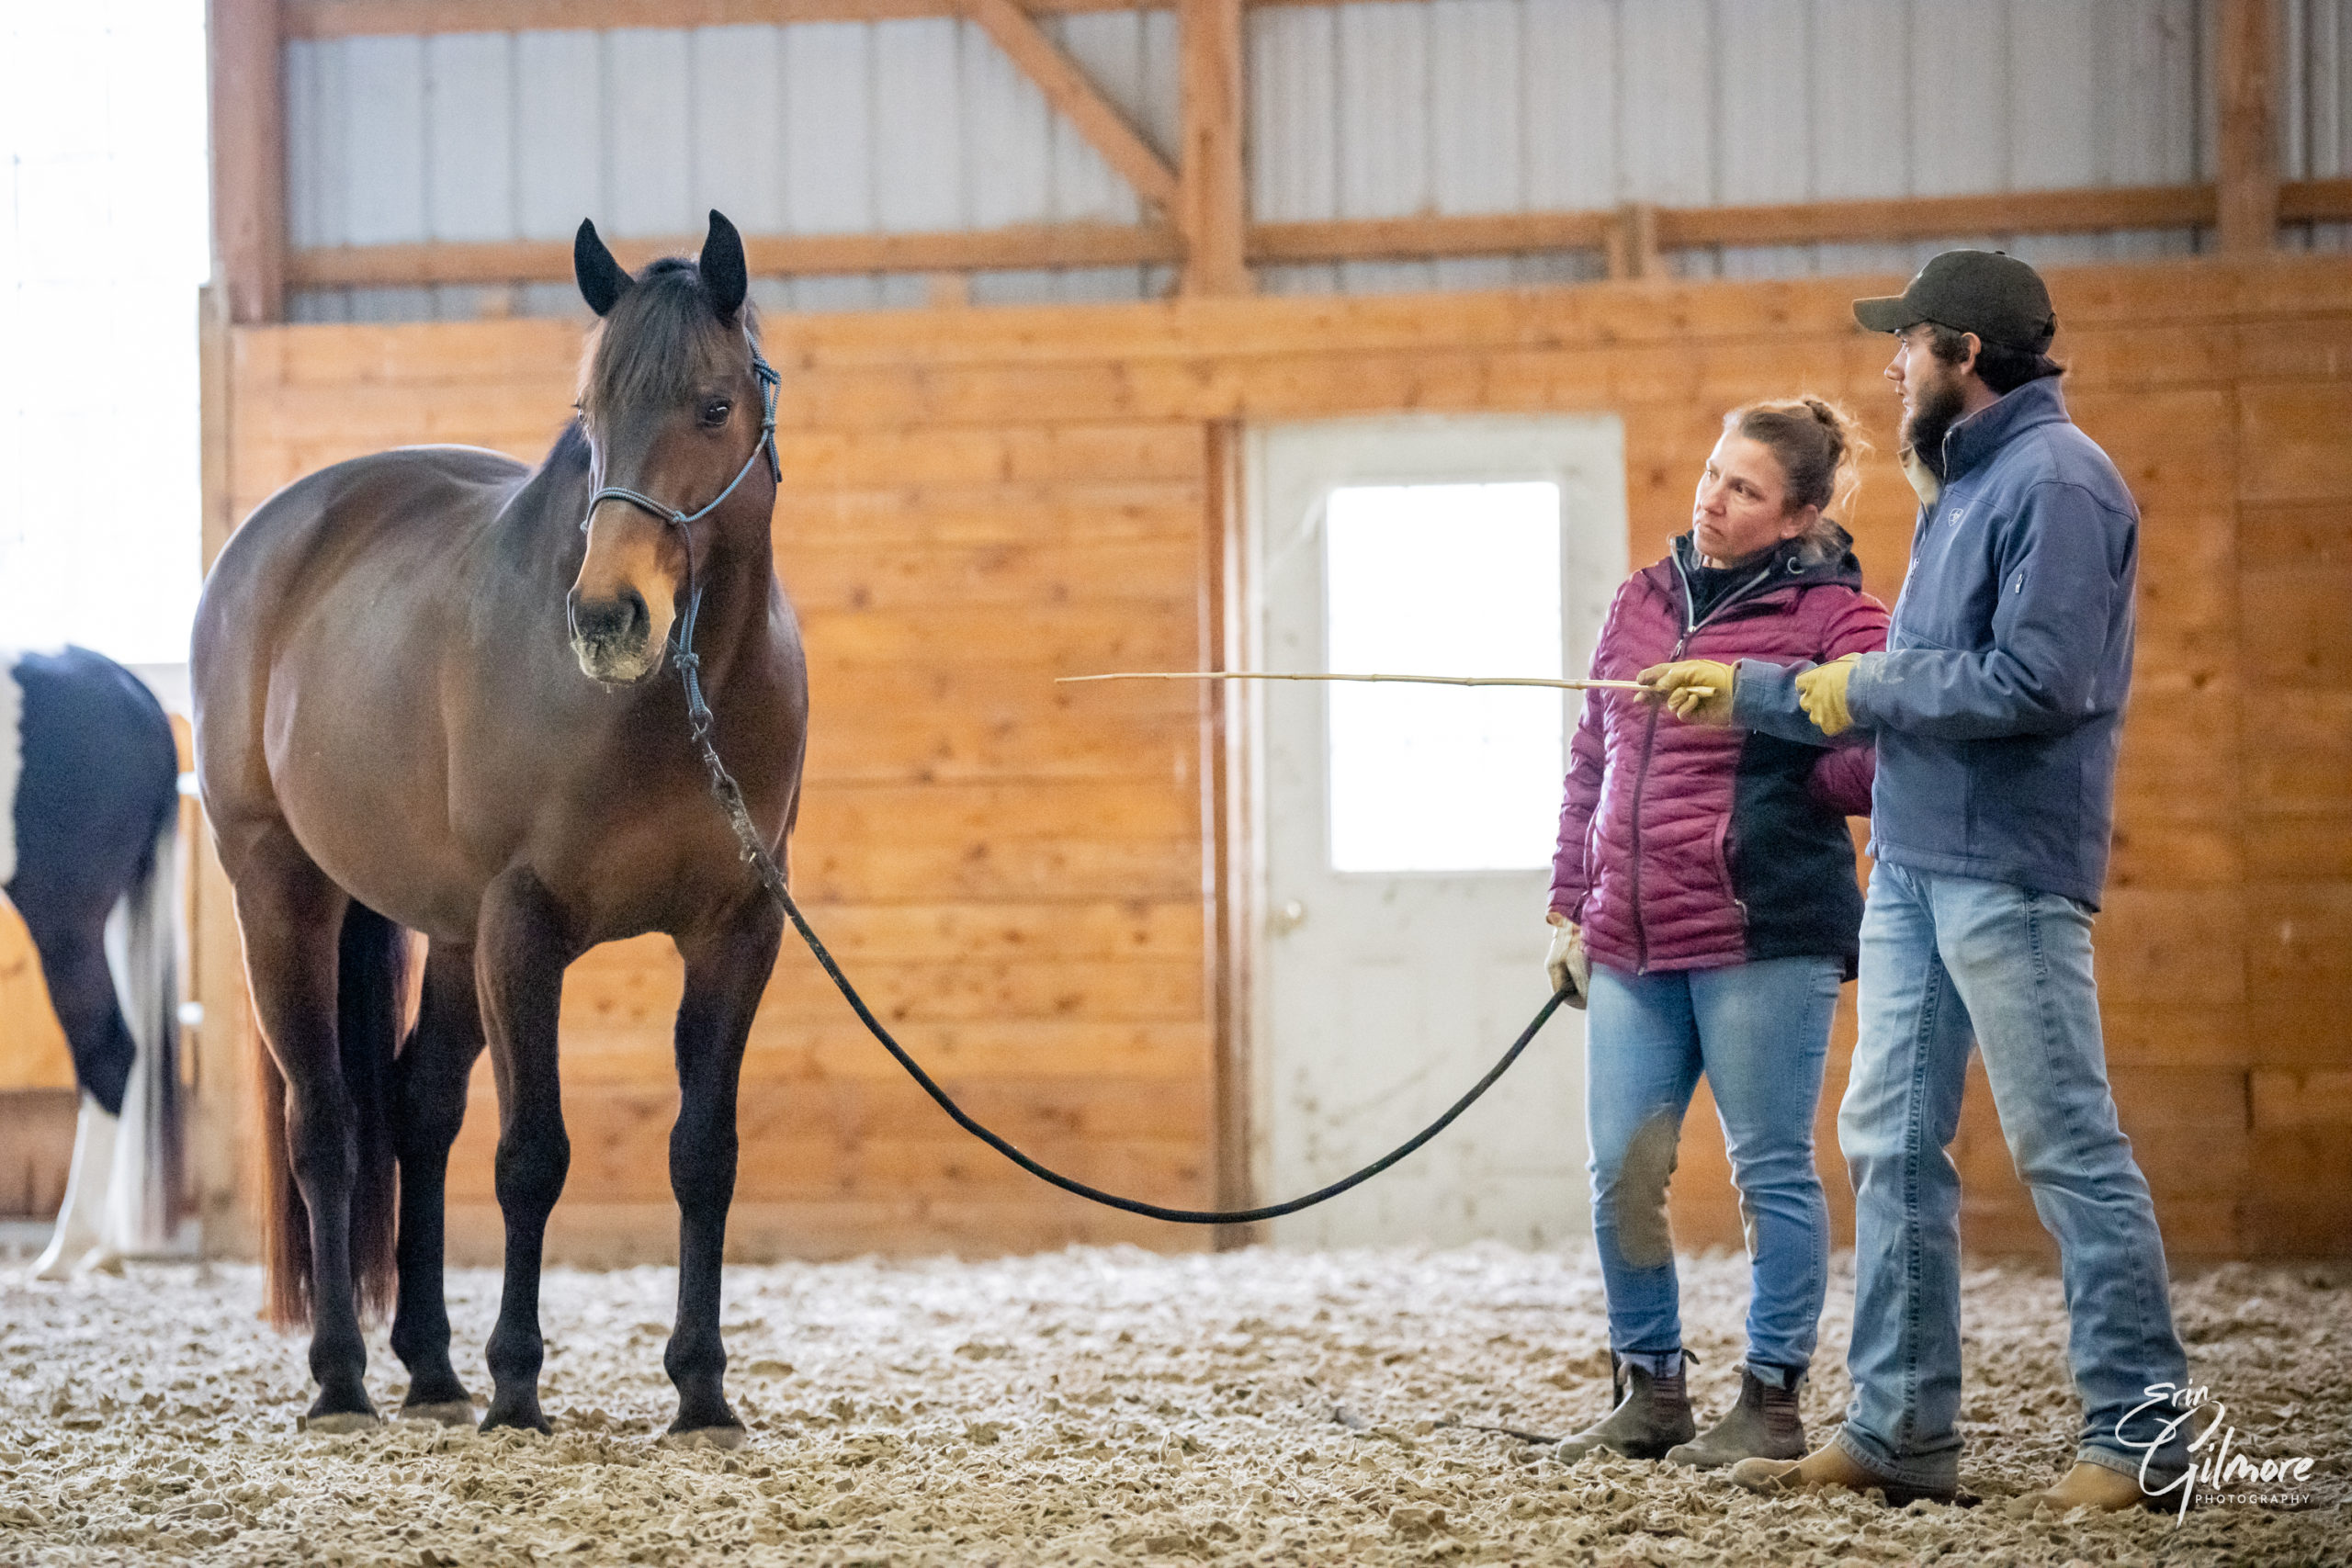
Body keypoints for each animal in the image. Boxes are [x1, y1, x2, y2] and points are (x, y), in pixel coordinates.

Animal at [191, 210, 808, 1443]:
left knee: (416, 1110)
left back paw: (429, 1367)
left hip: (449, 935)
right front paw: (521, 1383)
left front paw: (701, 1387)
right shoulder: (525, 927)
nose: (609, 618)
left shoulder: (739, 930)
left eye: (714, 405)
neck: (682, 696)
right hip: (281, 891)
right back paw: (343, 1376)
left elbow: (703, 1154)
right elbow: (532, 1155)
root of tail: (270, 537)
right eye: (590, 412)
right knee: (327, 1121)